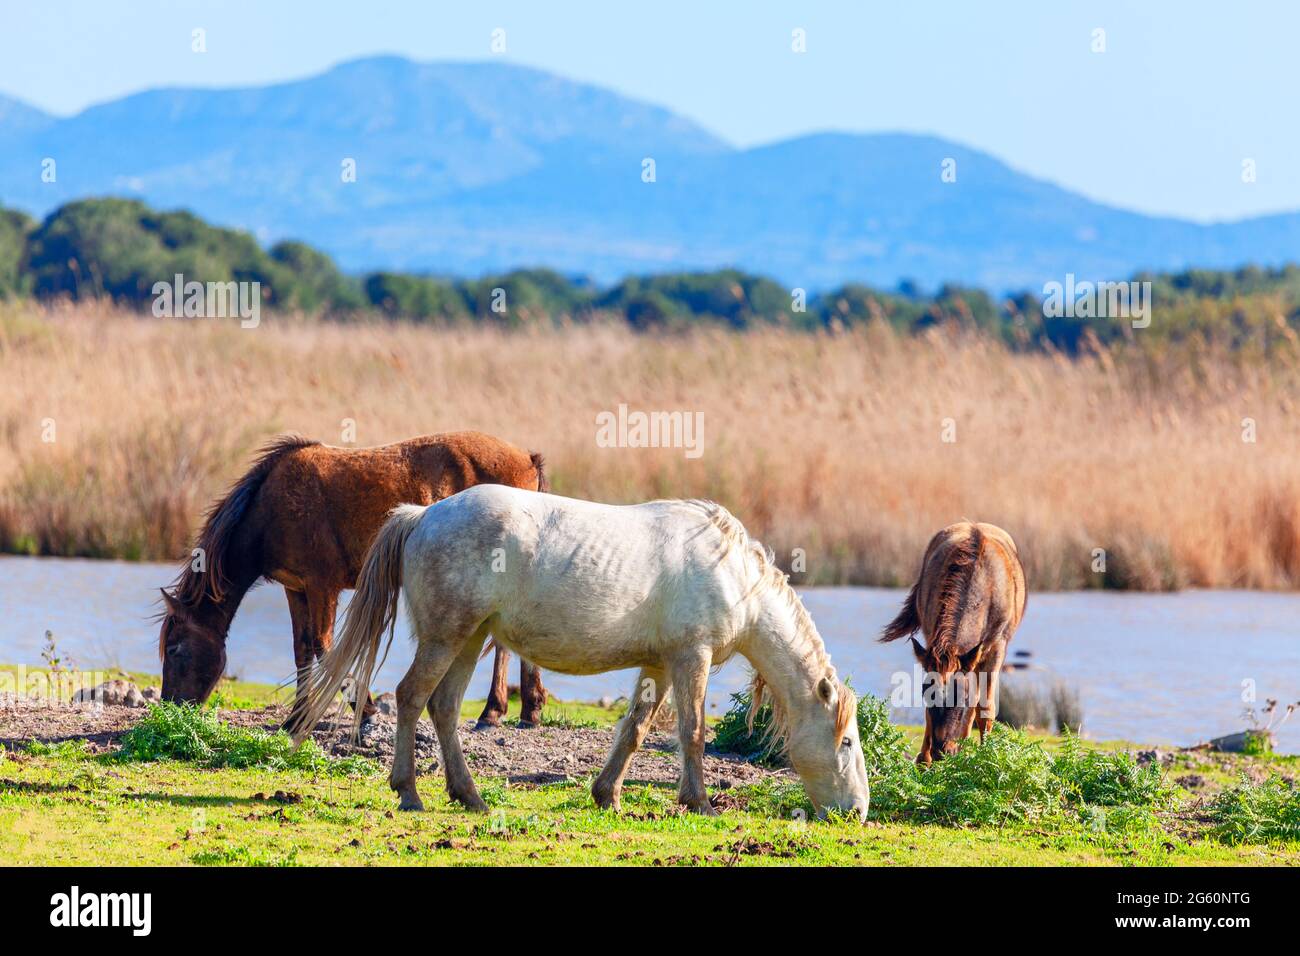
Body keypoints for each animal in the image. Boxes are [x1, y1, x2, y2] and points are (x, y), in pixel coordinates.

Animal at [158, 431, 549, 728]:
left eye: (174, 649)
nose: (169, 708)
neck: (270, 508)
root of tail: (527, 458)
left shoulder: (322, 585)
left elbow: (324, 646)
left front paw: (367, 710)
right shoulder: (296, 588)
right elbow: (301, 649)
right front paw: (296, 718)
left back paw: (493, 712)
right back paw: (527, 710)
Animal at [289, 486, 869, 820]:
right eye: (844, 743)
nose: (858, 812)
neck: (731, 571)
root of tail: (423, 514)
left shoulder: (659, 663)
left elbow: (635, 728)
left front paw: (606, 794)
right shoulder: (692, 656)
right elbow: (692, 732)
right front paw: (700, 803)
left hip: (470, 639)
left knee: (444, 707)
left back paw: (469, 796)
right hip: (445, 636)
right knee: (411, 698)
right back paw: (410, 792)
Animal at [879, 522, 1026, 765]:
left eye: (962, 696)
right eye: (926, 692)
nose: (942, 751)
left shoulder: (997, 646)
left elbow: (985, 707)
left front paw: (983, 756)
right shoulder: (931, 639)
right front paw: (924, 760)